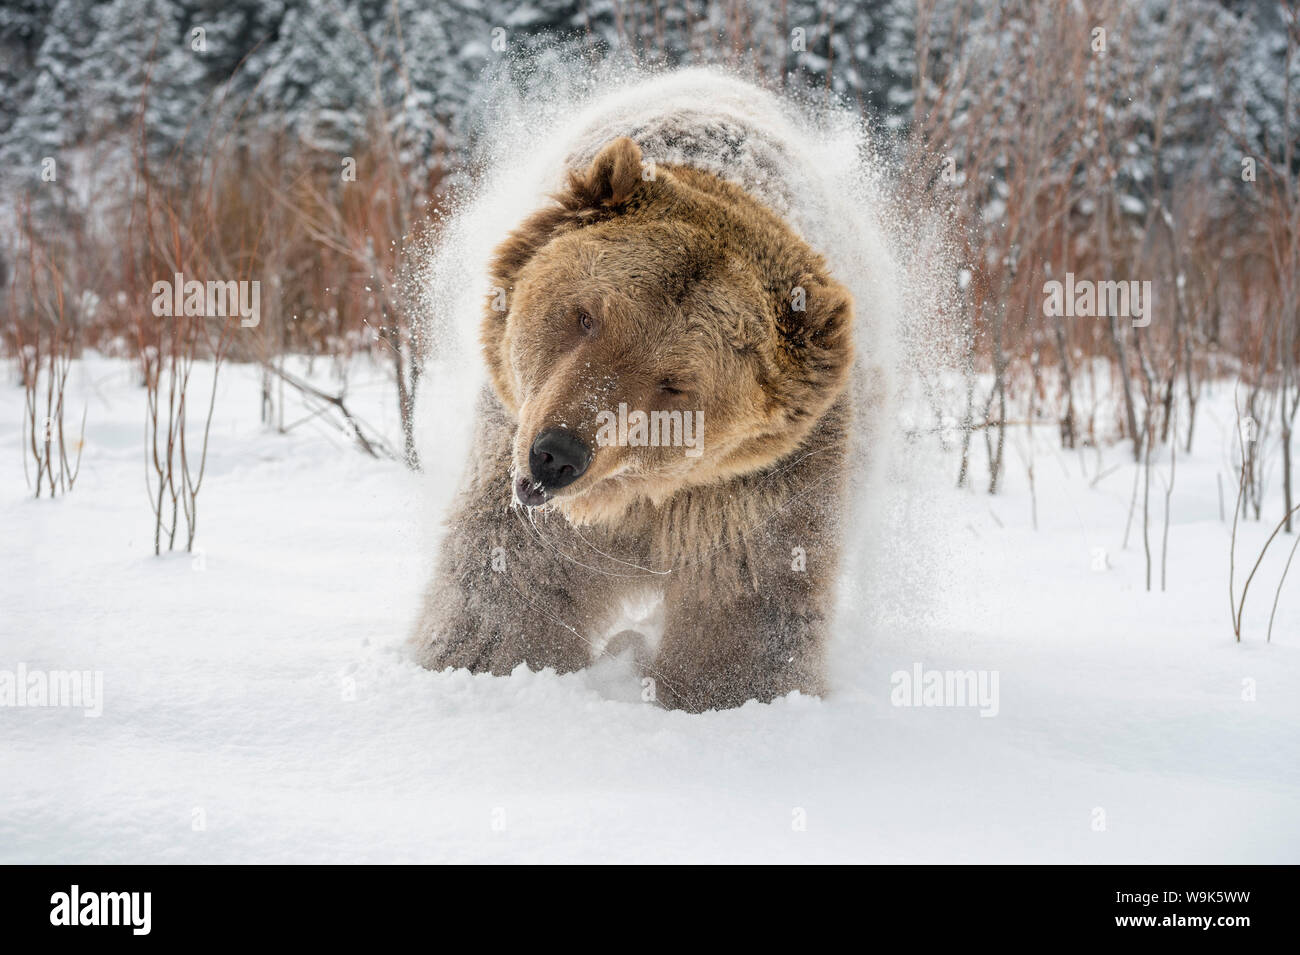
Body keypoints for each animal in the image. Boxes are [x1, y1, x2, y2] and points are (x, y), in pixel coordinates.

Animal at [410, 127, 857, 712]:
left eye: (676, 382)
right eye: (586, 317)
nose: (556, 455)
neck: (630, 498)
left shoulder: (753, 492)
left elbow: (747, 607)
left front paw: (725, 694)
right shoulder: (515, 454)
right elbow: (507, 582)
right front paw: (480, 663)